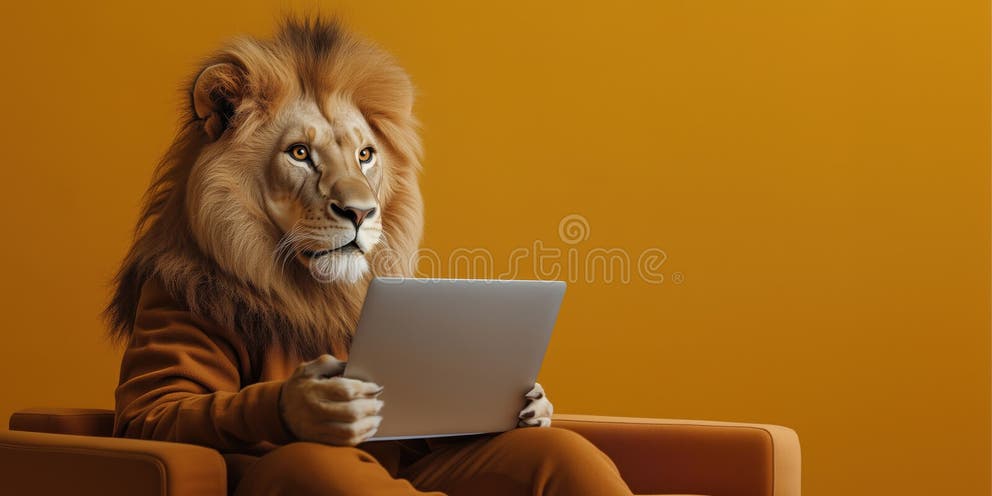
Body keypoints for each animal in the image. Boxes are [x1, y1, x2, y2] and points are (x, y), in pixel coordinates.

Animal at [102, 16, 617, 496]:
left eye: (366, 155)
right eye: (299, 153)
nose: (361, 212)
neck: (315, 290)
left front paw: (537, 405)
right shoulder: (171, 301)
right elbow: (159, 408)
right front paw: (311, 403)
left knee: (562, 448)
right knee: (311, 458)